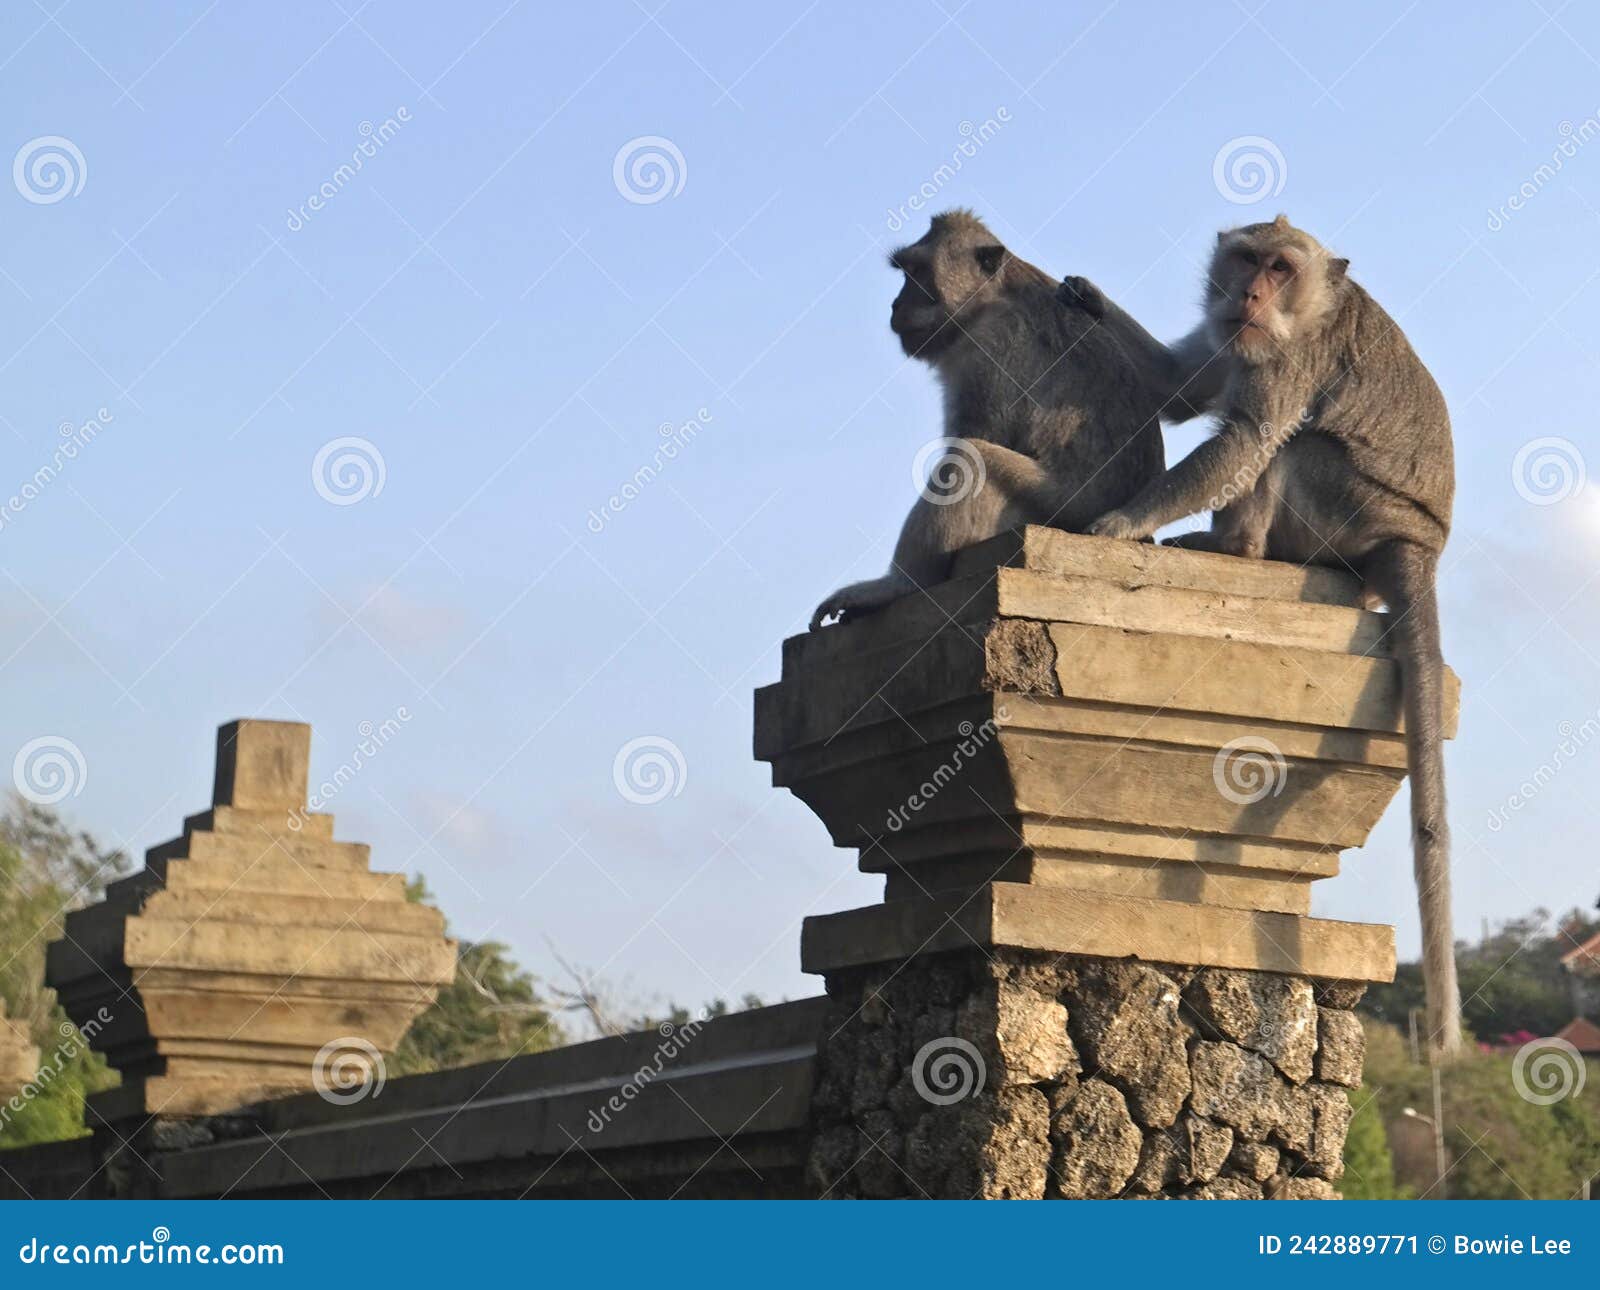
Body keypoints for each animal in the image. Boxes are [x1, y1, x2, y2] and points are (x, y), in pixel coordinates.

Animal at [810, 210, 1169, 630]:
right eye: (904, 272)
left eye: (919, 272)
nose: (896, 304)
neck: (988, 300)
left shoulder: (989, 349)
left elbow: (974, 437)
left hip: (1052, 509)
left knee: (973, 457)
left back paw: (901, 585)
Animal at [1067, 215, 1461, 1061]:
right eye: (1246, 259)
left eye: (1281, 268)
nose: (1249, 294)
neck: (1304, 314)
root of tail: (1419, 545)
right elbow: (1181, 387)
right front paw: (1086, 297)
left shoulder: (1291, 356)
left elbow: (1248, 434)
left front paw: (1121, 523)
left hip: (1347, 514)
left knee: (1294, 447)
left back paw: (1235, 550)